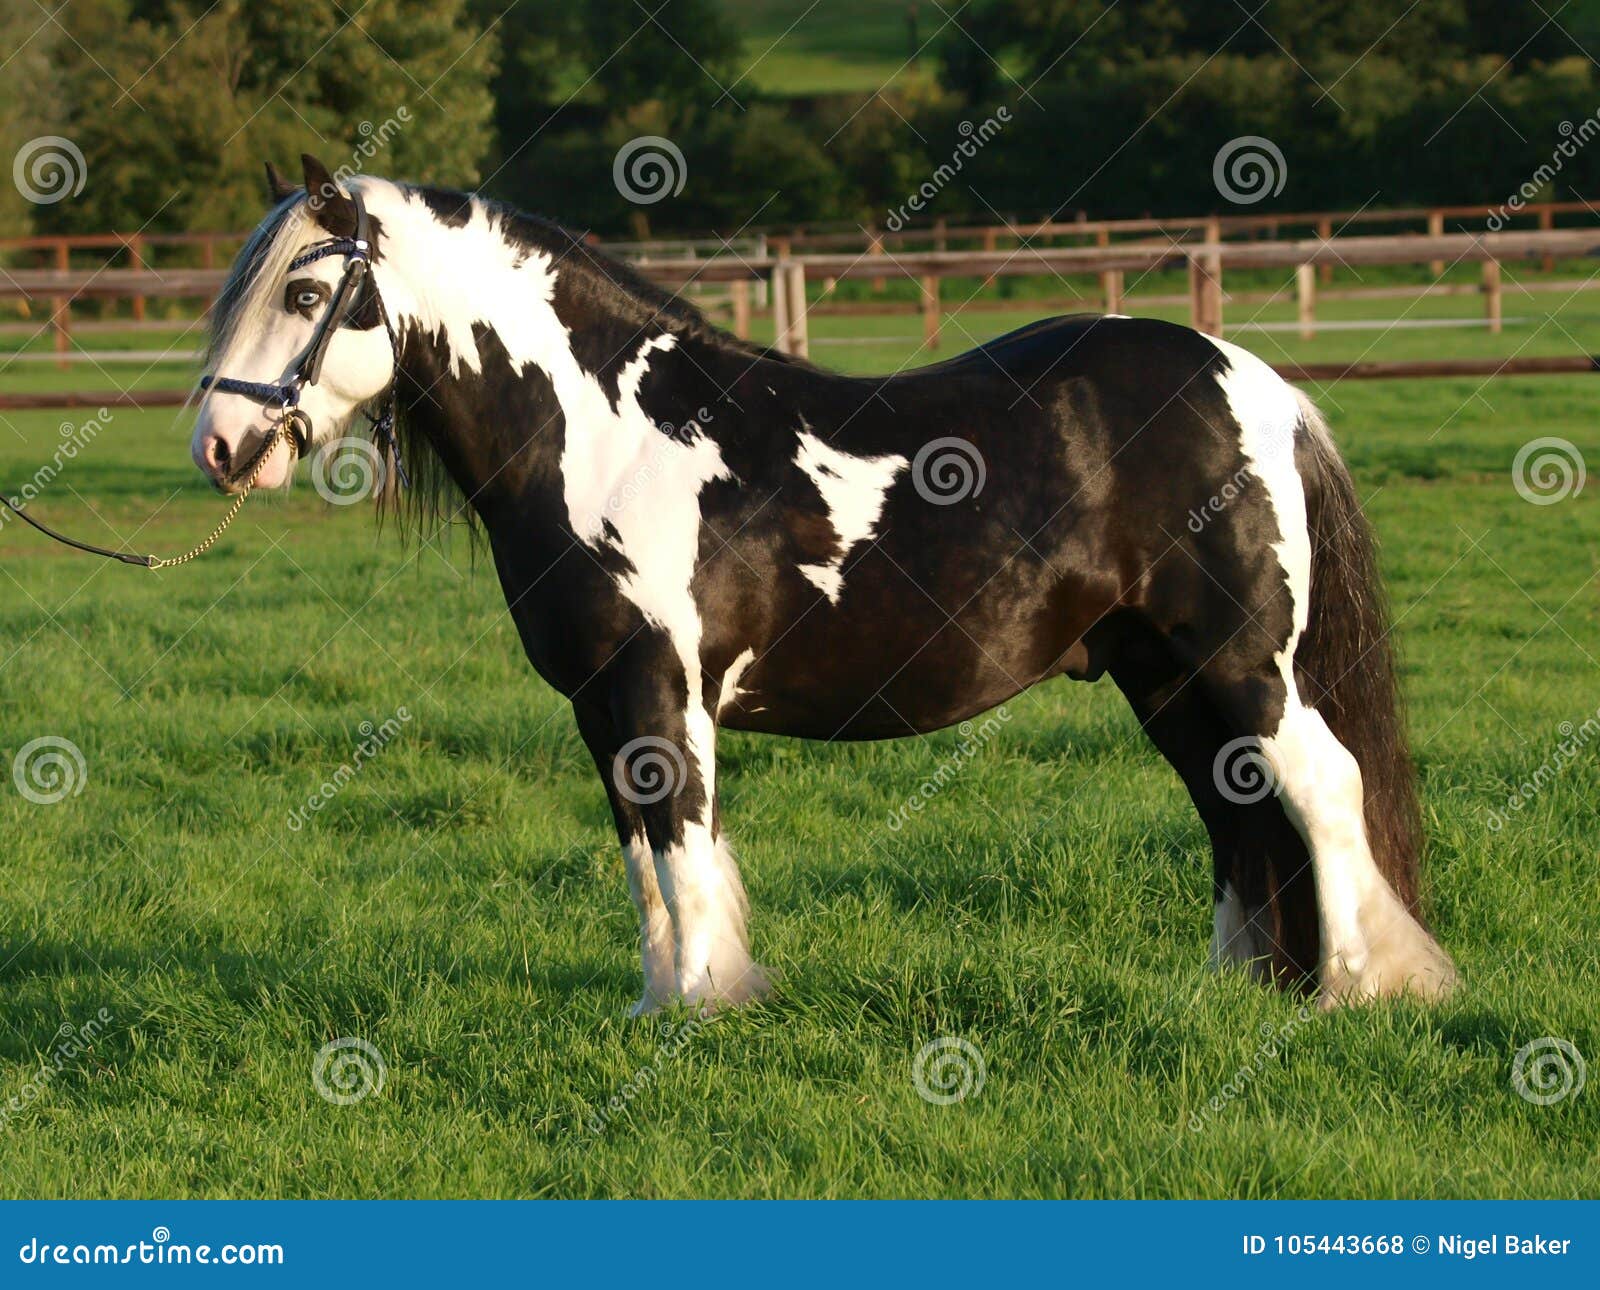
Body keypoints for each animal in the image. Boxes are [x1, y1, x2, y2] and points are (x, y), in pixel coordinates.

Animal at [191, 155, 1458, 1015]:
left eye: (303, 297)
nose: (216, 446)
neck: (608, 437)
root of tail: (1252, 380)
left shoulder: (659, 693)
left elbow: (683, 848)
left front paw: (701, 1010)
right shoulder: (599, 706)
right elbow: (642, 859)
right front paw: (661, 1004)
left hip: (1244, 663)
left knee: (1322, 790)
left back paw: (1353, 988)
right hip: (1162, 676)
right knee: (1234, 810)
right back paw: (1236, 992)